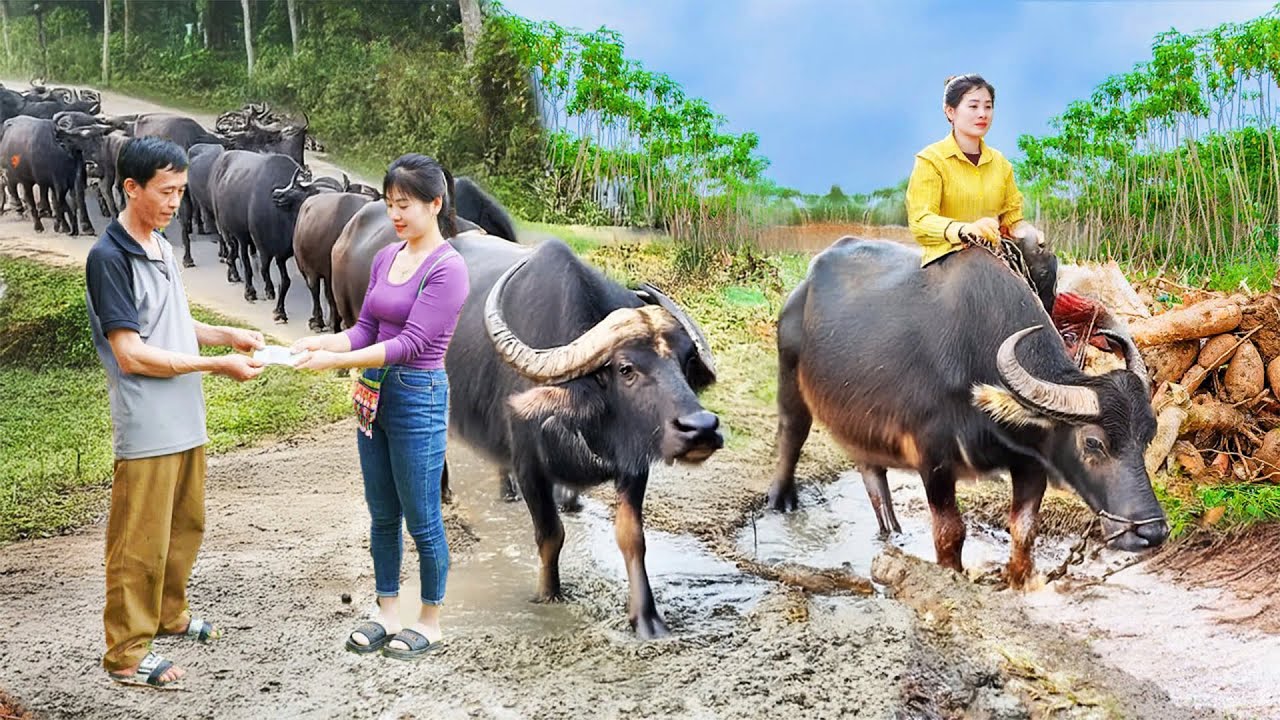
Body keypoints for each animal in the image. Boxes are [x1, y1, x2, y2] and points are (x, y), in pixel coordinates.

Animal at [767, 237, 1168, 588]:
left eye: (1147, 439)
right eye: (1093, 442)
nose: (1152, 532)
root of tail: (804, 287)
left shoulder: (1030, 462)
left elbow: (1024, 529)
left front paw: (1019, 579)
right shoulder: (934, 461)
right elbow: (950, 533)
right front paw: (953, 575)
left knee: (872, 472)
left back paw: (893, 532)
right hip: (789, 374)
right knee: (792, 432)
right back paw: (780, 500)